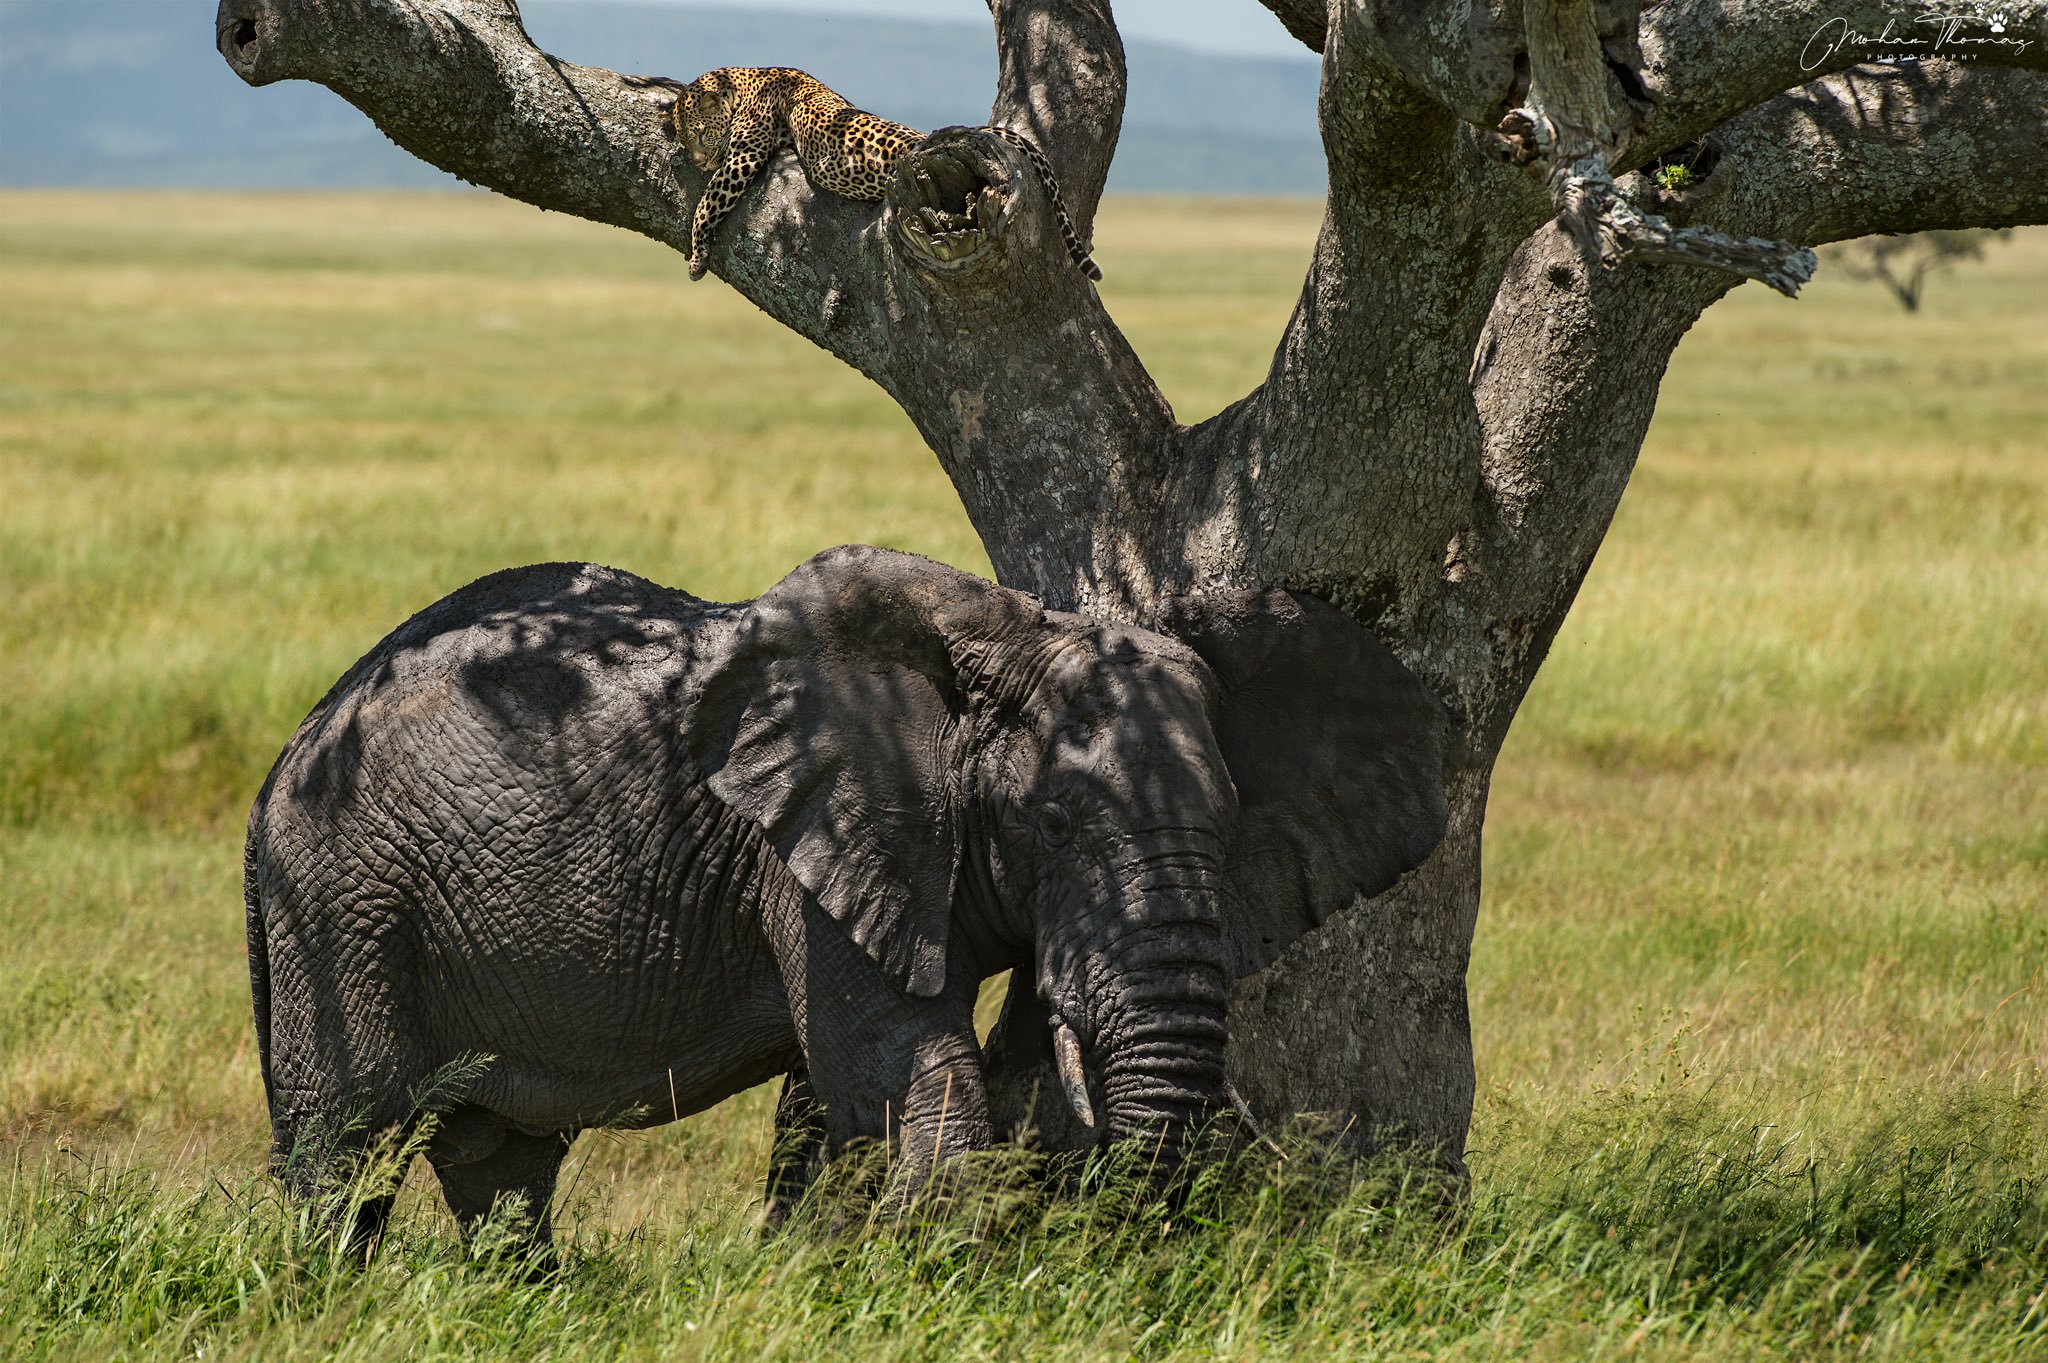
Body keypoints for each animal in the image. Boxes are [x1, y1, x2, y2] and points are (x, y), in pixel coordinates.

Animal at [245, 545, 1447, 1248]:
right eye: (1053, 825)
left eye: (1233, 823)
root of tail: (287, 751)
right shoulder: (812, 843)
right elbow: (899, 1065)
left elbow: (830, 1103)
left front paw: (808, 1269)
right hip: (341, 903)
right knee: (344, 1151)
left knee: (502, 1166)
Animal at [668, 66, 1102, 283]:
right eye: (686, 138)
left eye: (701, 134)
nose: (699, 160)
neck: (745, 78)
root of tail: (926, 138)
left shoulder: (743, 158)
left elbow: (706, 205)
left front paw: (696, 259)